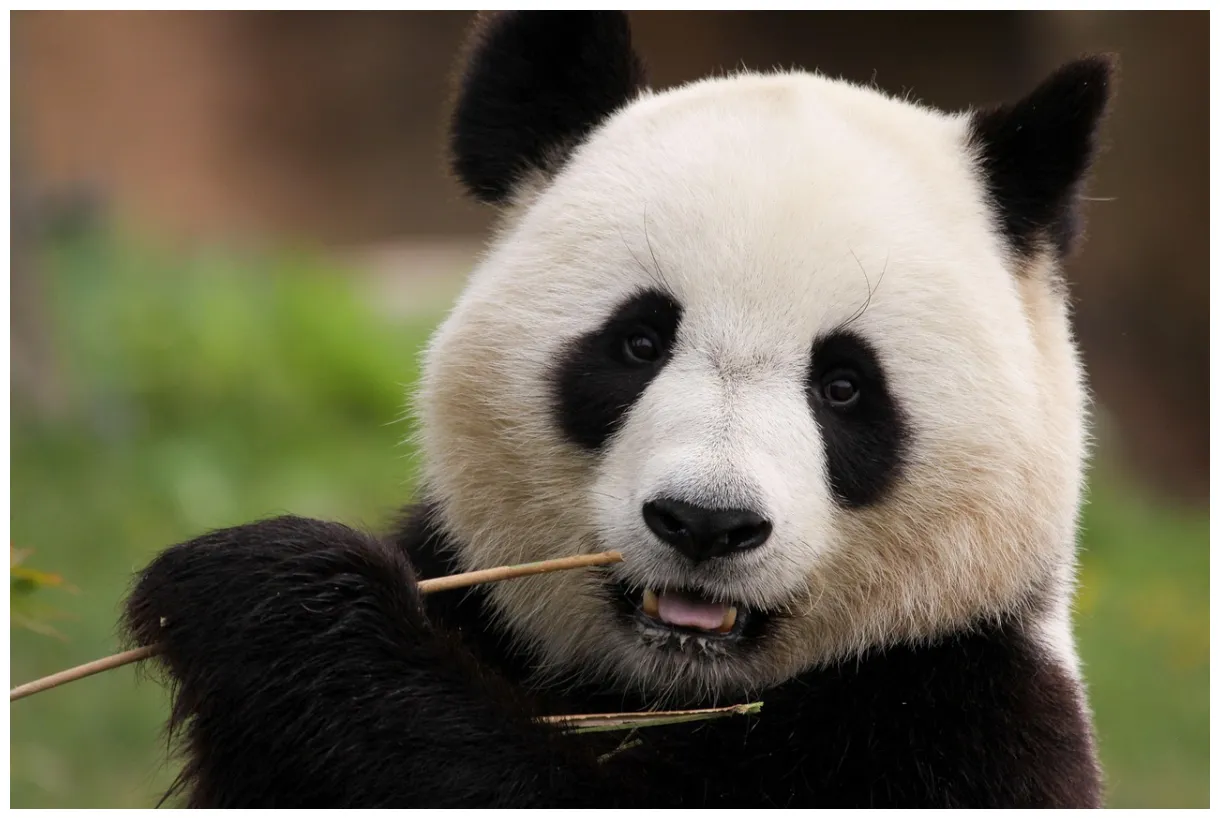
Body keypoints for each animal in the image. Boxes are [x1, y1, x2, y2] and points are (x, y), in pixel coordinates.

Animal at [123, 11, 1114, 808]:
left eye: (844, 385)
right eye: (638, 342)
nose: (706, 523)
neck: (668, 689)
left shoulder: (949, 722)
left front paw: (263, 588)